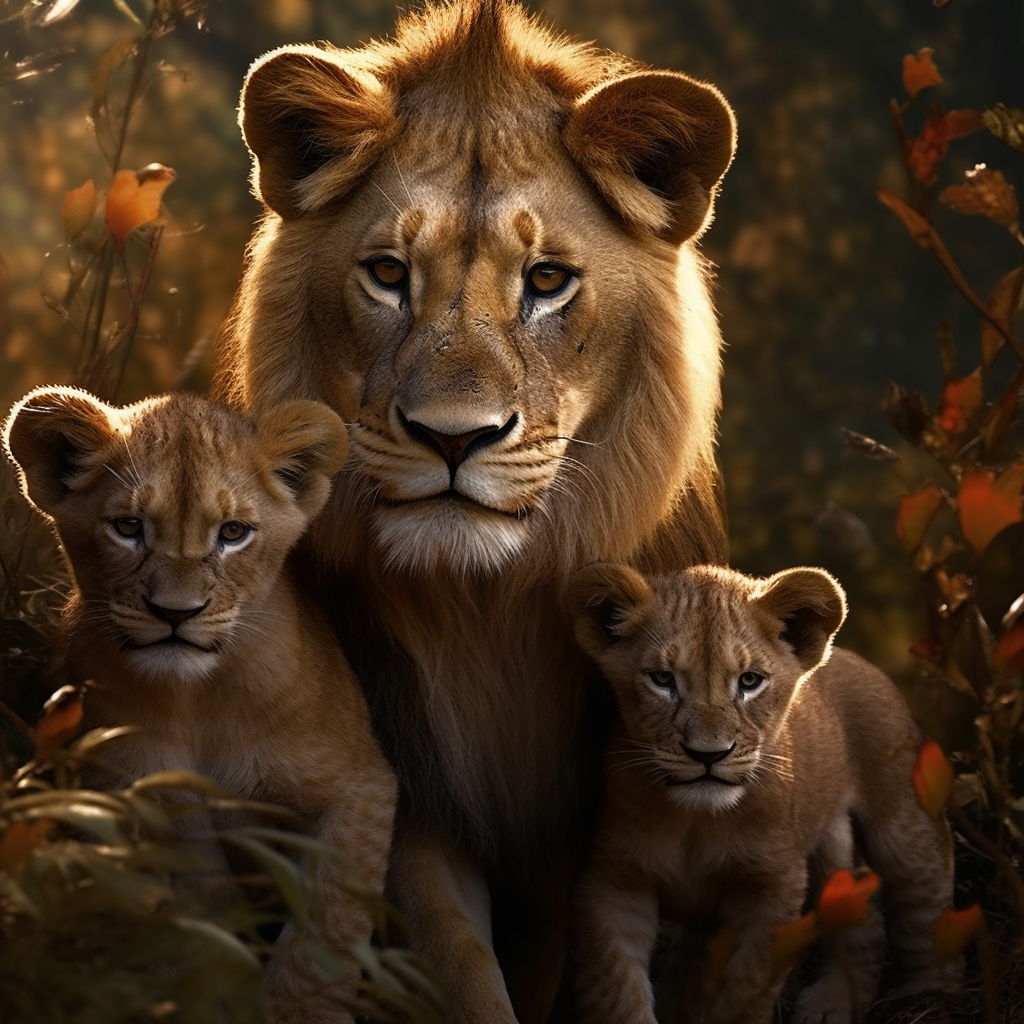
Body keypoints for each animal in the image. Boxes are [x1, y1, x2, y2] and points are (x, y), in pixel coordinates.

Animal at [3, 386, 397, 1023]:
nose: (175, 613)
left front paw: (294, 1008)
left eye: (233, 532)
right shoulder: (137, 790)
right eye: (128, 527)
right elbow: (194, 909)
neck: (199, 700)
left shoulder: (361, 785)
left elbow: (327, 924)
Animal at [212, 1, 736, 1018]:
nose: (454, 439)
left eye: (547, 281)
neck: (482, 611)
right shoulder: (403, 781)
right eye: (386, 273)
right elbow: (455, 957)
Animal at [568, 562, 958, 1024]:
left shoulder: (774, 885)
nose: (709, 754)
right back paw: (832, 1003)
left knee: (926, 909)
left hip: (904, 827)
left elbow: (746, 988)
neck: (693, 820)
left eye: (749, 681)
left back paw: (926, 998)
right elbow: (617, 993)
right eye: (662, 679)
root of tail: (854, 658)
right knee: (867, 925)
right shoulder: (614, 882)